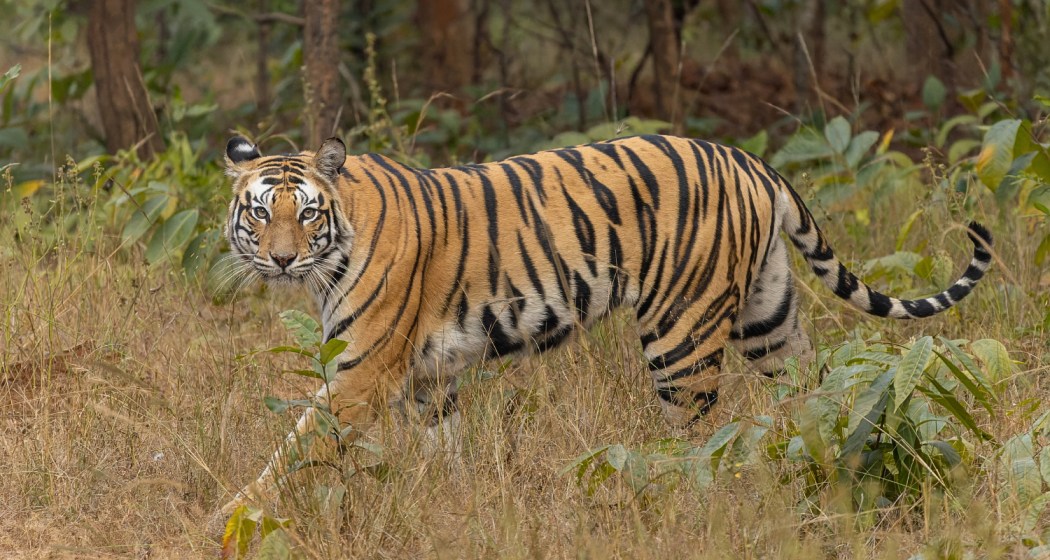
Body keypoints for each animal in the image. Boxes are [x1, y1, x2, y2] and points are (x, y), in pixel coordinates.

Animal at [218, 133, 992, 515]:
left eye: (306, 213)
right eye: (260, 211)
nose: (281, 259)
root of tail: (749, 159)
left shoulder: (362, 372)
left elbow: (292, 450)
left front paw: (233, 517)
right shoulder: (428, 380)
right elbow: (448, 452)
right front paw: (459, 503)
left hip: (683, 336)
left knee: (701, 439)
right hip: (768, 320)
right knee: (813, 398)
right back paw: (824, 471)